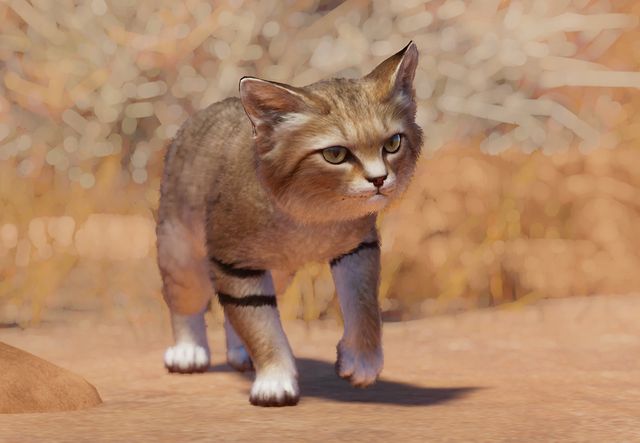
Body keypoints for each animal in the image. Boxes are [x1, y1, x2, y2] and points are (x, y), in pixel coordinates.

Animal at [158, 41, 422, 406]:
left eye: (393, 144)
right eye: (335, 155)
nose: (380, 179)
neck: (313, 217)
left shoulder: (358, 249)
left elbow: (364, 306)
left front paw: (362, 361)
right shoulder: (234, 264)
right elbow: (261, 327)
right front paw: (275, 380)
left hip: (278, 273)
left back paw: (240, 353)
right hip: (183, 256)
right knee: (186, 302)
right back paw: (188, 351)